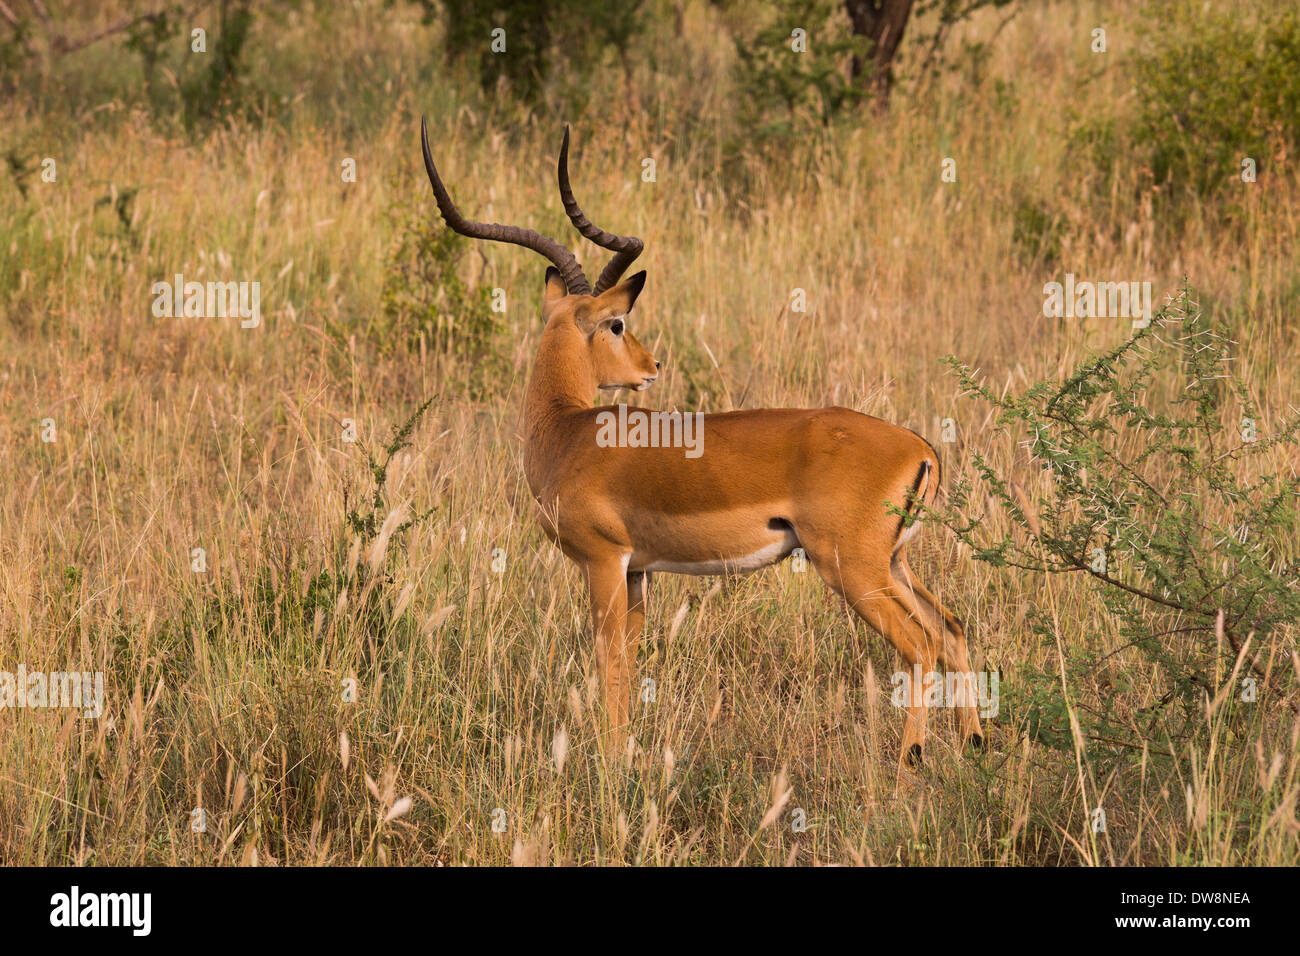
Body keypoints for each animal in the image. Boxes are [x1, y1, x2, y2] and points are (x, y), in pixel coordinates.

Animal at [420, 119, 984, 769]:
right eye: (616, 325)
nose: (651, 366)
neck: (565, 433)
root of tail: (920, 447)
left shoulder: (603, 563)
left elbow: (608, 660)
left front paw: (610, 762)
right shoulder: (637, 572)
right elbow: (628, 660)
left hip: (850, 565)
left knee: (919, 643)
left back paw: (909, 757)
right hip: (894, 561)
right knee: (952, 628)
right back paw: (974, 742)